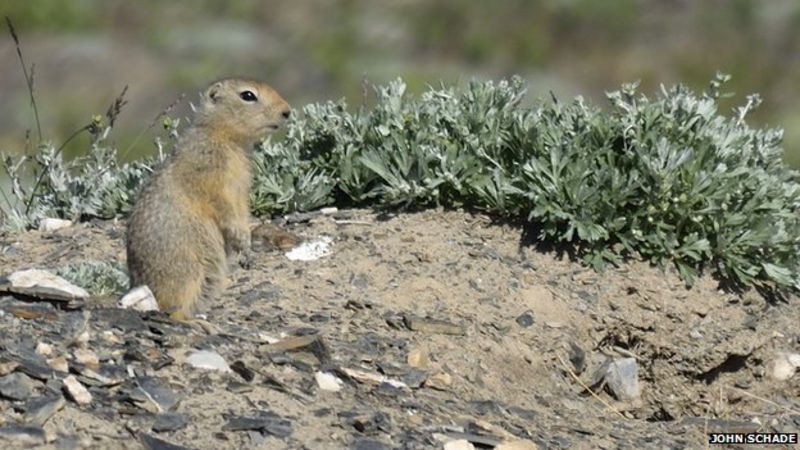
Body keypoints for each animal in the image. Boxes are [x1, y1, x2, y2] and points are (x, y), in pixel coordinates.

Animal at [126, 77, 290, 320]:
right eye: (248, 95)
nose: (287, 111)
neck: (223, 137)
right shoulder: (211, 175)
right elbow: (224, 208)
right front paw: (244, 246)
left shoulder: (240, 189)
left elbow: (242, 211)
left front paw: (247, 249)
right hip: (187, 272)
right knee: (171, 308)